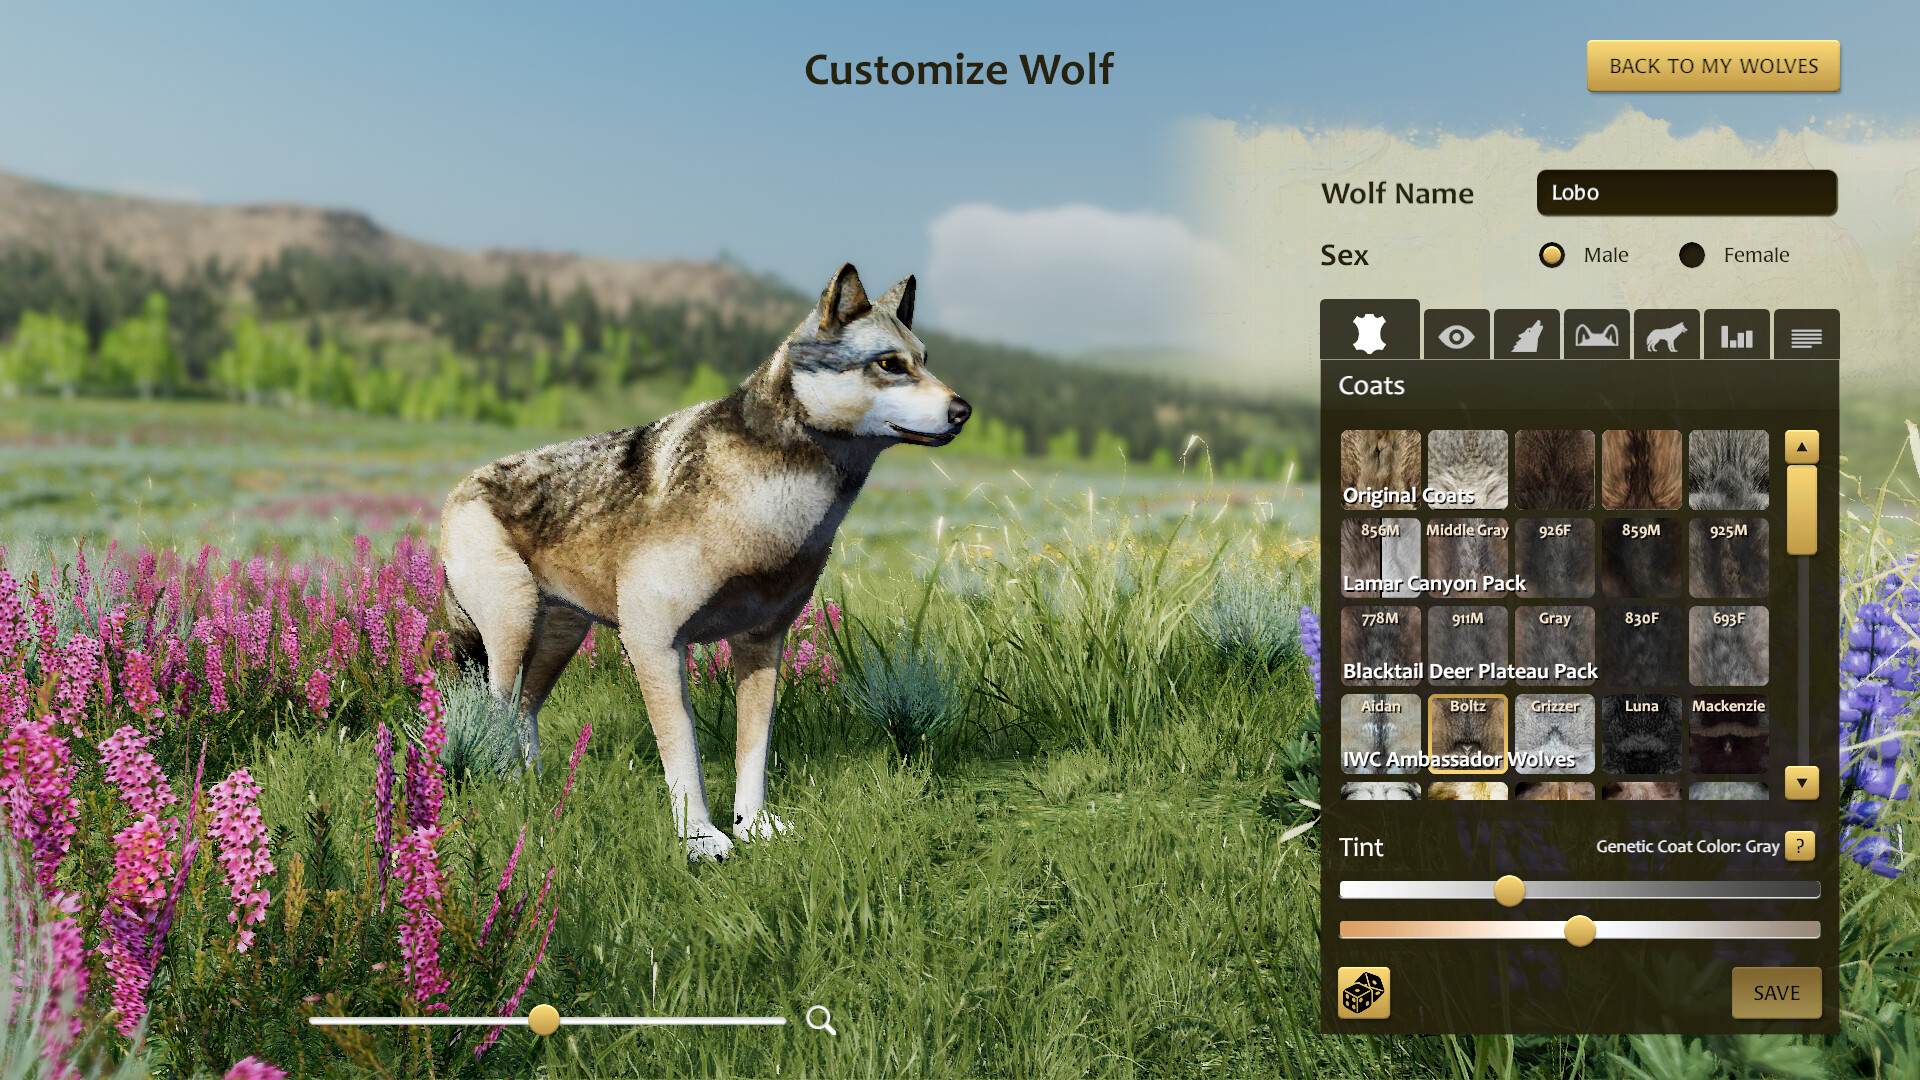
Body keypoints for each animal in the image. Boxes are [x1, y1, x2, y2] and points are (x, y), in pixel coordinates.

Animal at [439, 265, 969, 859]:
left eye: (923, 359)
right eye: (889, 365)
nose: (964, 411)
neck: (772, 505)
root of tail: (459, 486)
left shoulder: (763, 645)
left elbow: (752, 754)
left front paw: (754, 827)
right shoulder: (656, 646)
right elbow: (685, 756)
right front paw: (701, 840)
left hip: (555, 640)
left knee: (526, 711)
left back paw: (534, 788)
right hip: (511, 635)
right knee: (500, 715)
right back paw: (511, 796)